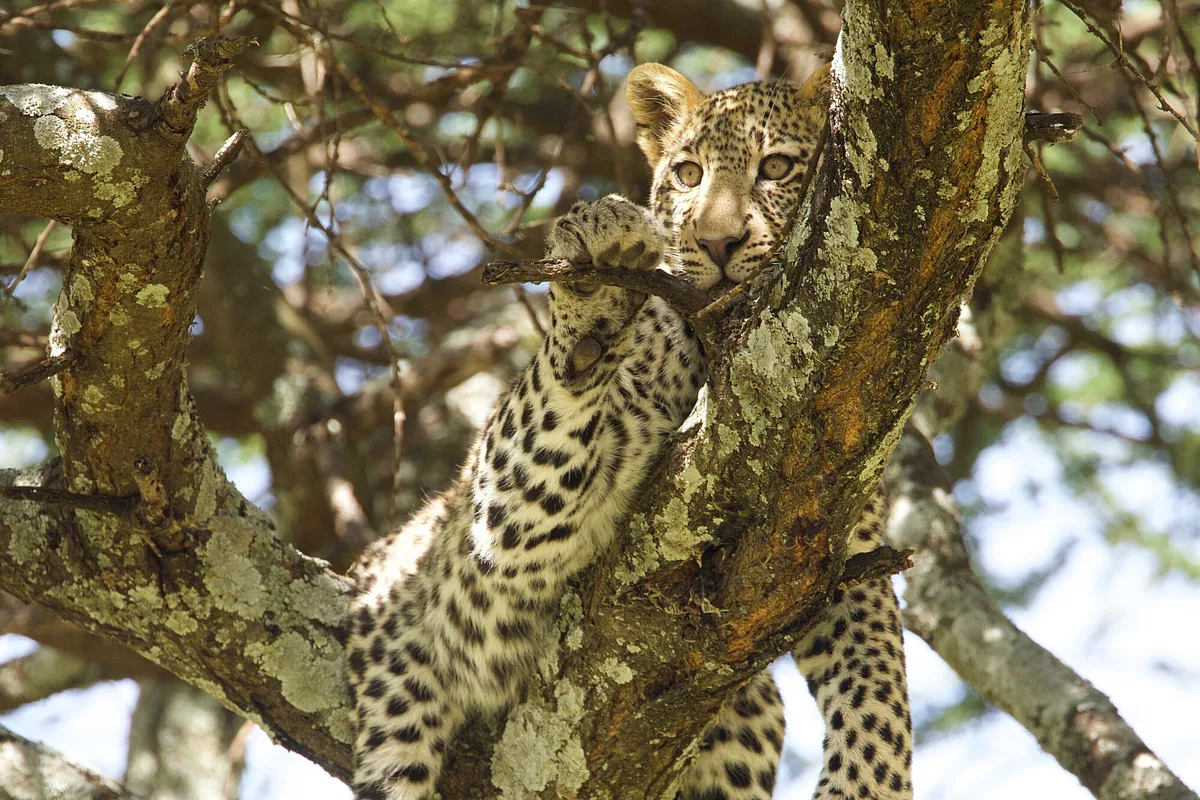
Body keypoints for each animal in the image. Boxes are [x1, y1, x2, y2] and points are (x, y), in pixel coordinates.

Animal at [346, 62, 913, 800]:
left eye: (777, 167)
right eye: (689, 175)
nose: (717, 244)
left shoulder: (844, 547)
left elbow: (879, 685)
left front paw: (865, 783)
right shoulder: (505, 526)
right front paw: (599, 269)